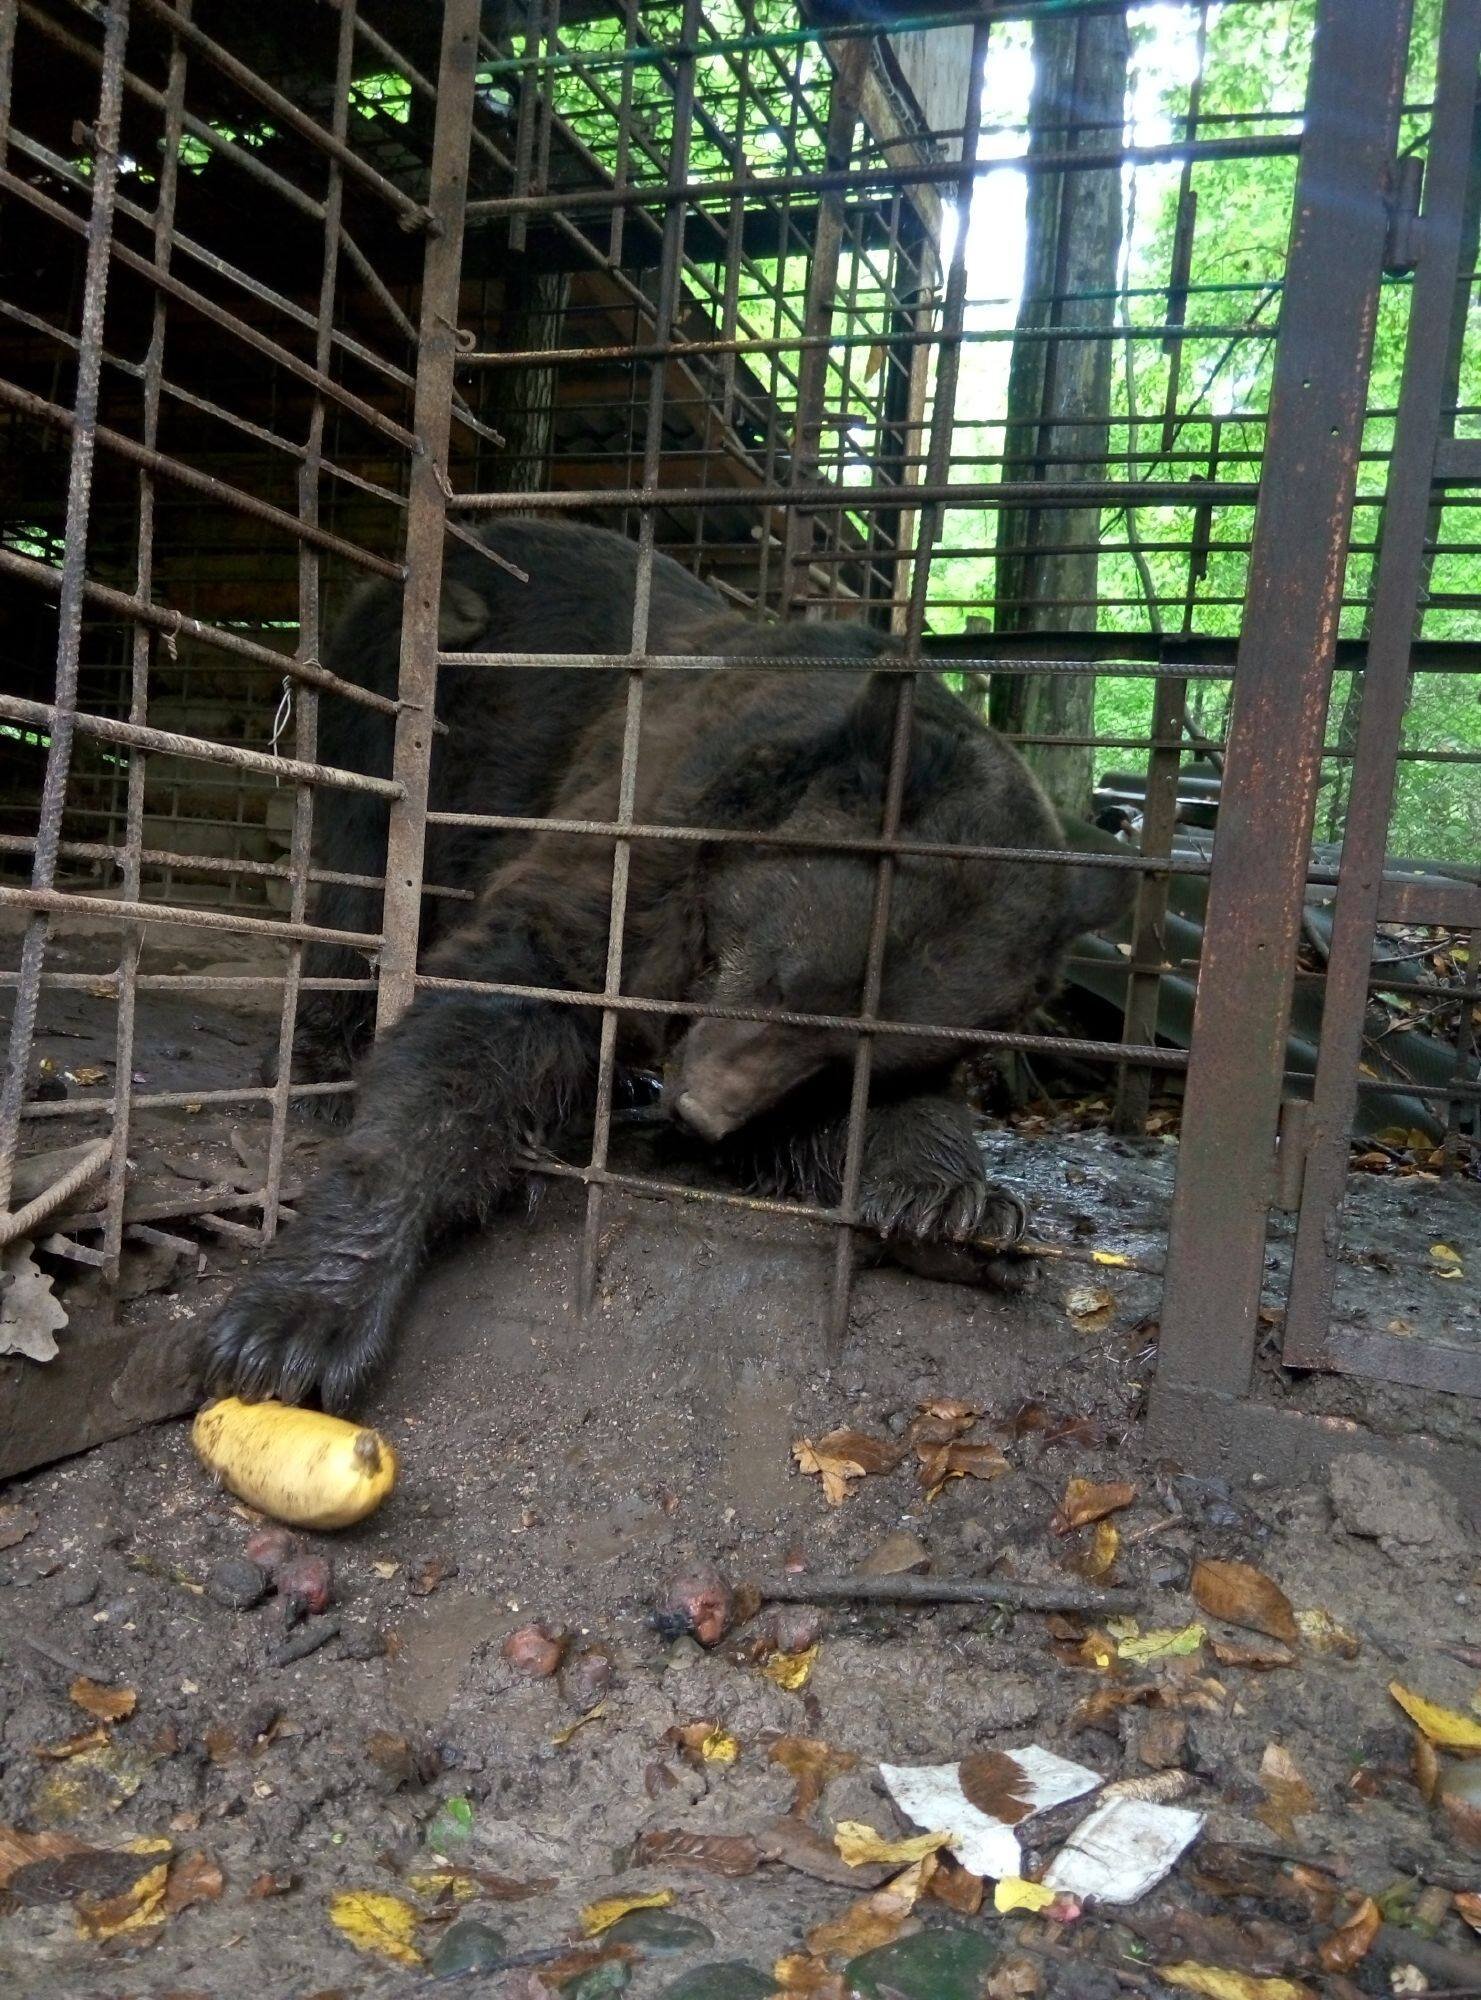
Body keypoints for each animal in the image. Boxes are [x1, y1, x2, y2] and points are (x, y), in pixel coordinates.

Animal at [206, 519, 1130, 1408]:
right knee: (356, 870)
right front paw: (300, 1317)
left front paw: (958, 1211)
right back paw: (322, 1060)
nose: (701, 1111)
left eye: (844, 1053)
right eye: (783, 979)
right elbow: (501, 1002)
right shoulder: (643, 833)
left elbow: (867, 1119)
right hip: (394, 721)